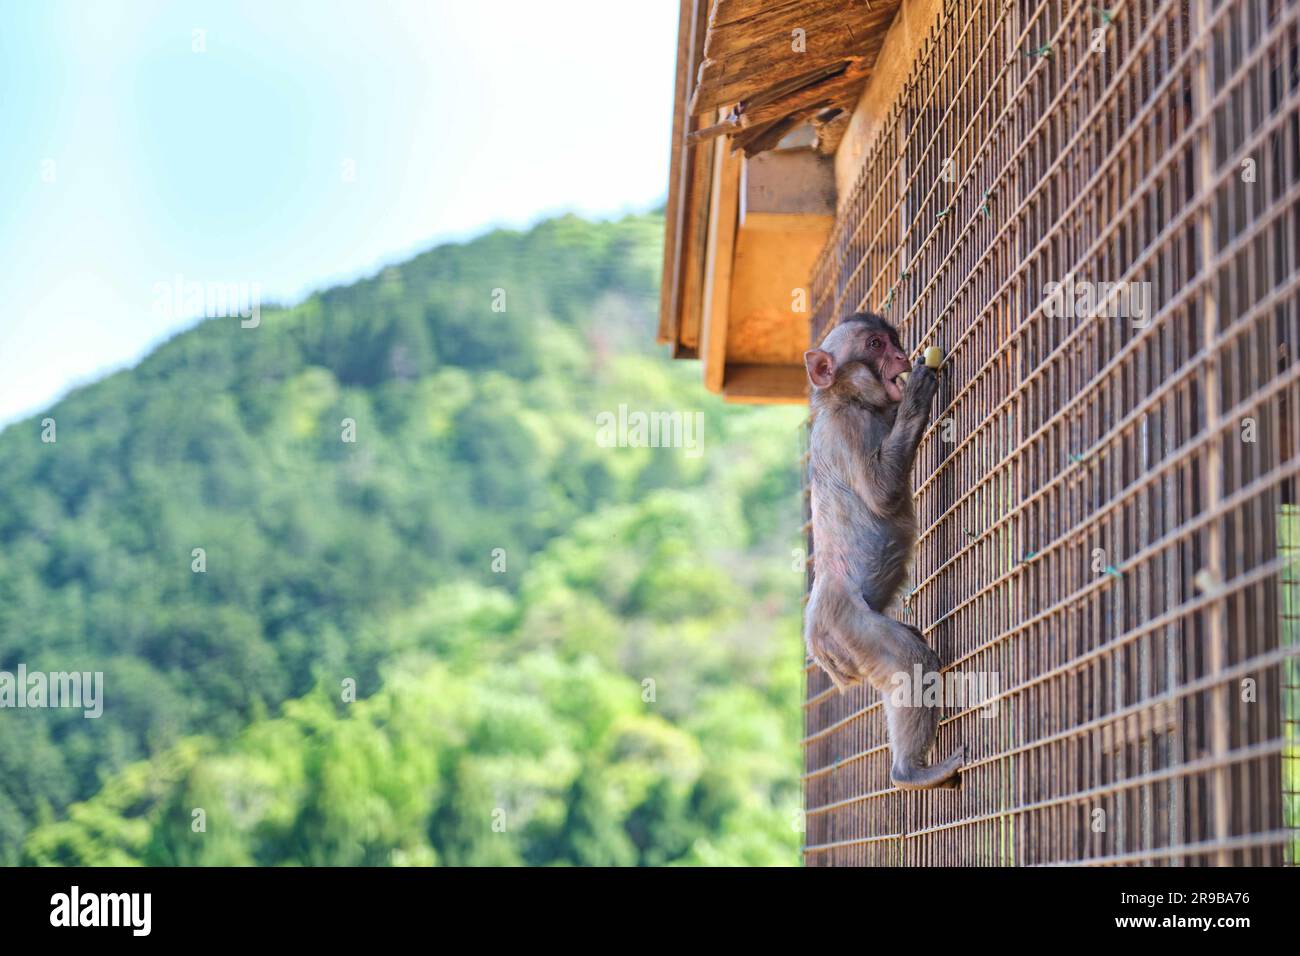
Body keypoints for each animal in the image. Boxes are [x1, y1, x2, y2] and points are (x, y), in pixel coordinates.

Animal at [803, 312, 965, 790]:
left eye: (892, 340)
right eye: (875, 345)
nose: (900, 355)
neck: (850, 400)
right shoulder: (848, 429)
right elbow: (881, 493)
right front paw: (917, 394)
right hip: (847, 627)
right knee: (910, 659)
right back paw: (909, 770)